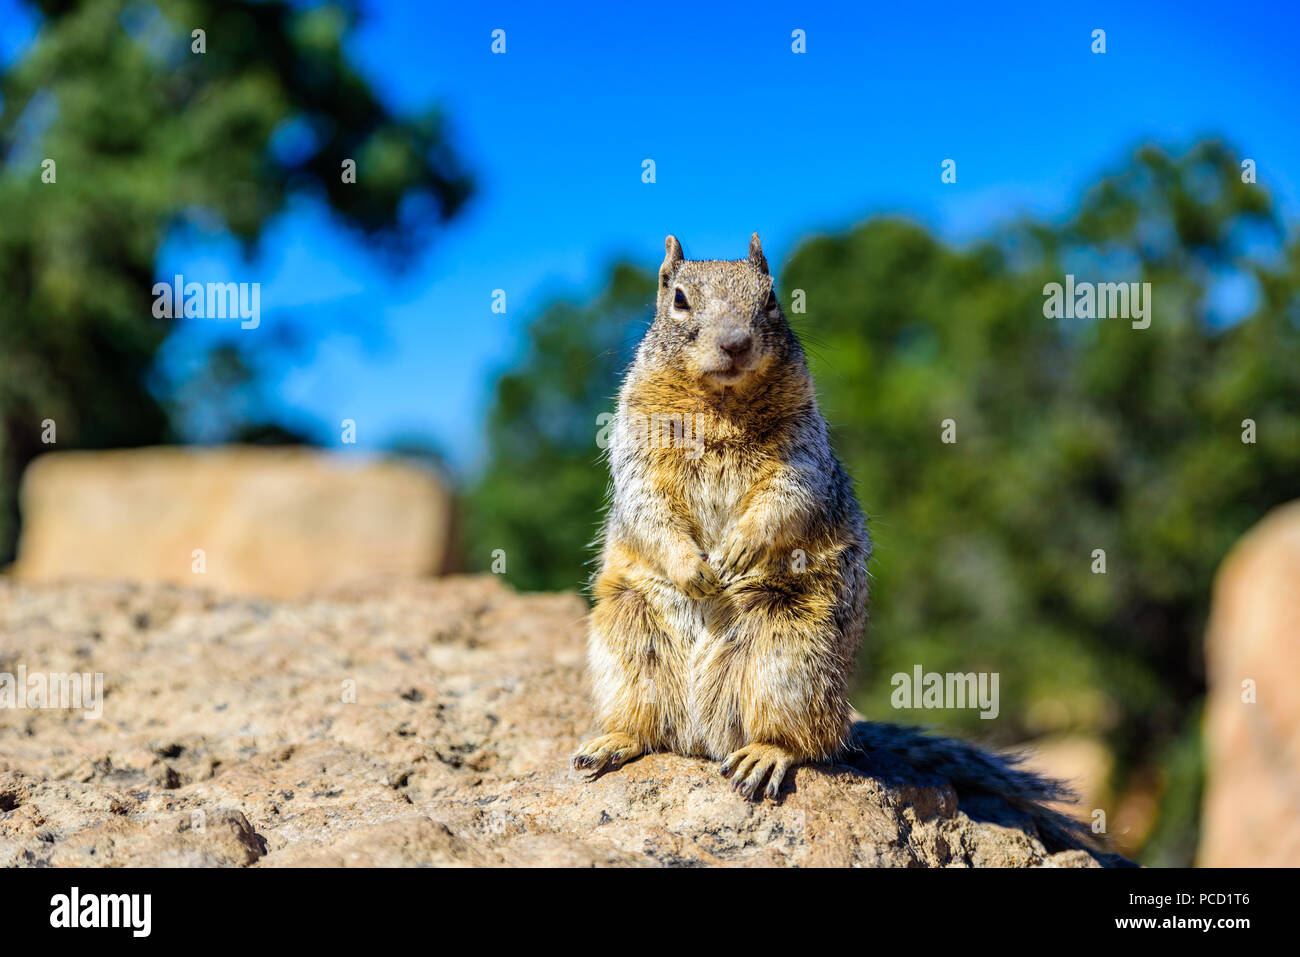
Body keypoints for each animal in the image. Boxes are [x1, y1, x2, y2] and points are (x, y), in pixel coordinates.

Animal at [572, 233, 870, 799]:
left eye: (772, 298)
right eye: (679, 299)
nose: (735, 343)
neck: (720, 403)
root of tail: (701, 739)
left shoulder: (803, 454)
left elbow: (785, 497)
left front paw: (737, 550)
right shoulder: (637, 451)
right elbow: (648, 507)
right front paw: (695, 569)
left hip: (792, 654)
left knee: (808, 738)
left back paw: (763, 755)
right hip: (625, 637)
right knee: (647, 726)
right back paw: (612, 742)